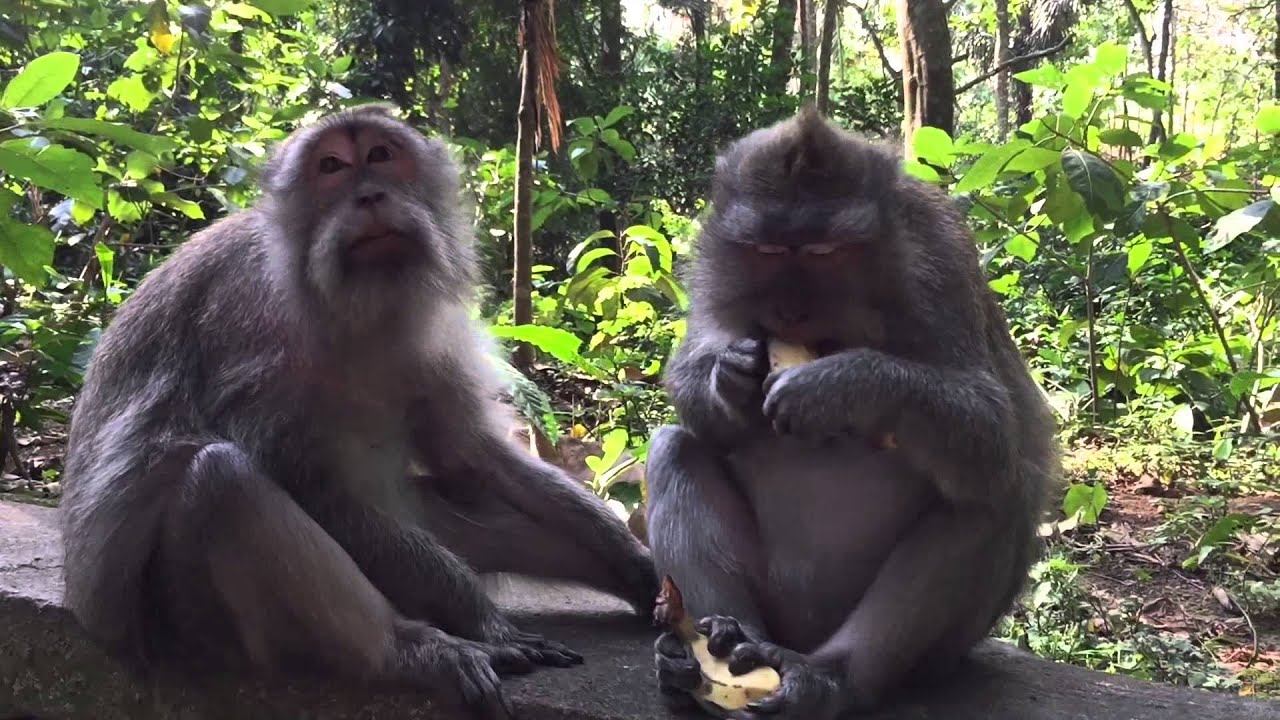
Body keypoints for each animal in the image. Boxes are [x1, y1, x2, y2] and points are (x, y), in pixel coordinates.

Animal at [57, 104, 658, 720]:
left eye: (379, 156)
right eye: (331, 166)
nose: (369, 196)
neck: (355, 304)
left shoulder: (435, 332)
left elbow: (471, 457)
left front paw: (629, 555)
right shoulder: (251, 330)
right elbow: (305, 483)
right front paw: (479, 619)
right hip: (190, 624)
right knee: (222, 482)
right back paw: (414, 651)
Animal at [645, 107, 1060, 719]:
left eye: (825, 252)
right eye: (768, 252)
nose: (791, 310)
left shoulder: (940, 258)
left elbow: (991, 431)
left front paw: (841, 386)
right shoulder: (712, 265)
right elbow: (695, 379)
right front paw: (730, 378)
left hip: (932, 647)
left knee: (987, 501)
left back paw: (829, 679)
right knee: (674, 448)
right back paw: (714, 646)